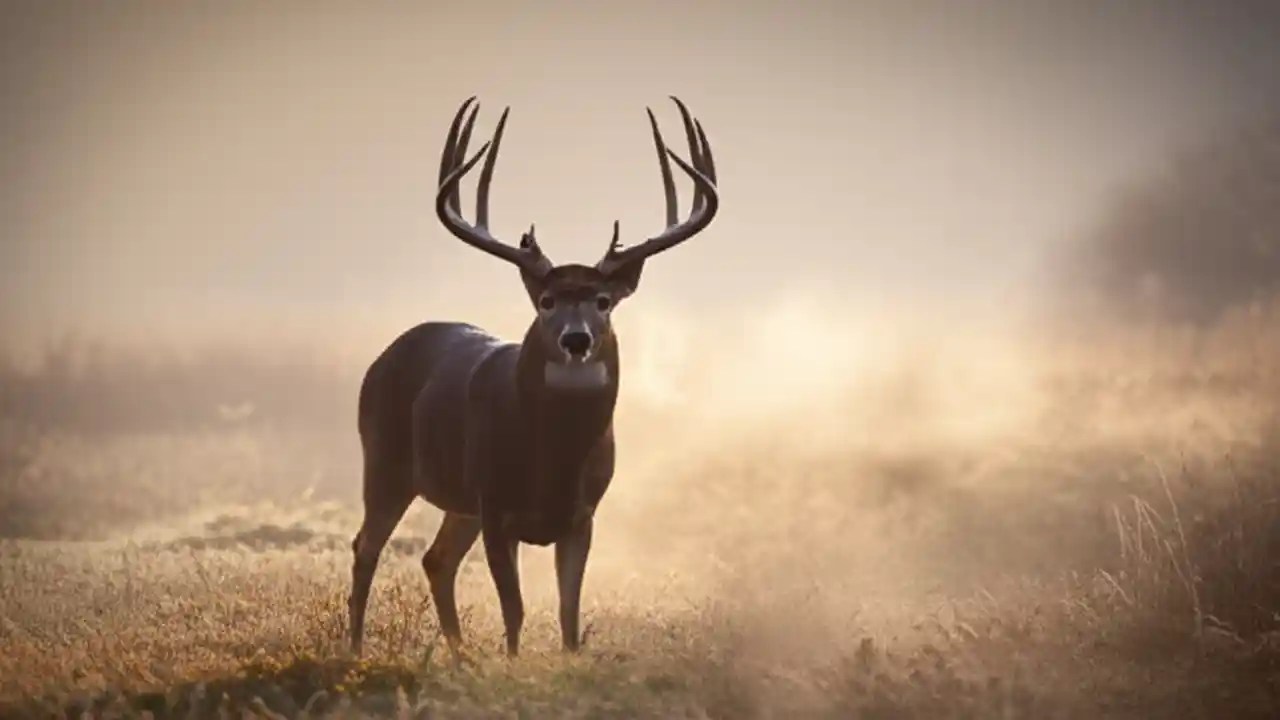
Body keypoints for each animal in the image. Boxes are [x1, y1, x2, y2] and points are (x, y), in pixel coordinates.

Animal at [348, 96, 719, 657]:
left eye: (603, 301)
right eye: (545, 301)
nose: (576, 340)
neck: (554, 459)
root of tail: (386, 355)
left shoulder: (583, 515)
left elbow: (568, 612)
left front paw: (559, 661)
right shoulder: (497, 506)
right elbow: (515, 609)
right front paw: (512, 663)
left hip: (459, 500)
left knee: (436, 559)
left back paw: (460, 657)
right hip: (387, 461)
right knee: (366, 547)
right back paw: (353, 650)